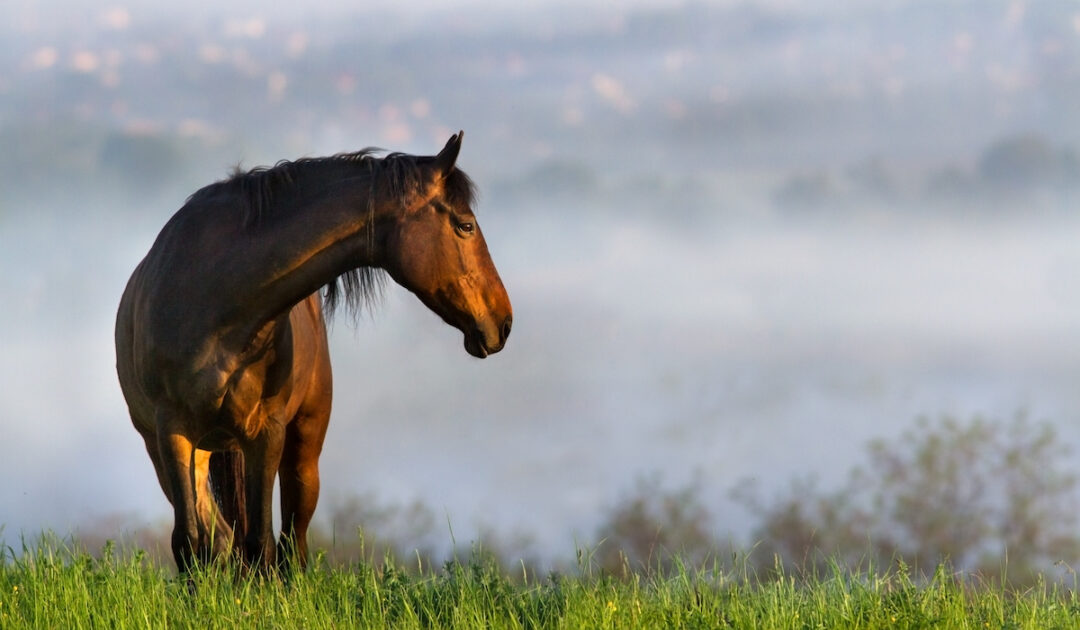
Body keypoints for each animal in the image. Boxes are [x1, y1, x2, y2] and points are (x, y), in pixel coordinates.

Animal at [114, 132, 512, 573]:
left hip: (303, 448)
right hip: (184, 450)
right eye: (465, 226)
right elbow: (190, 542)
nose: (503, 322)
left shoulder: (265, 433)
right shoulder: (172, 432)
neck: (213, 297)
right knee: (219, 537)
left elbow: (261, 543)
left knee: (292, 542)